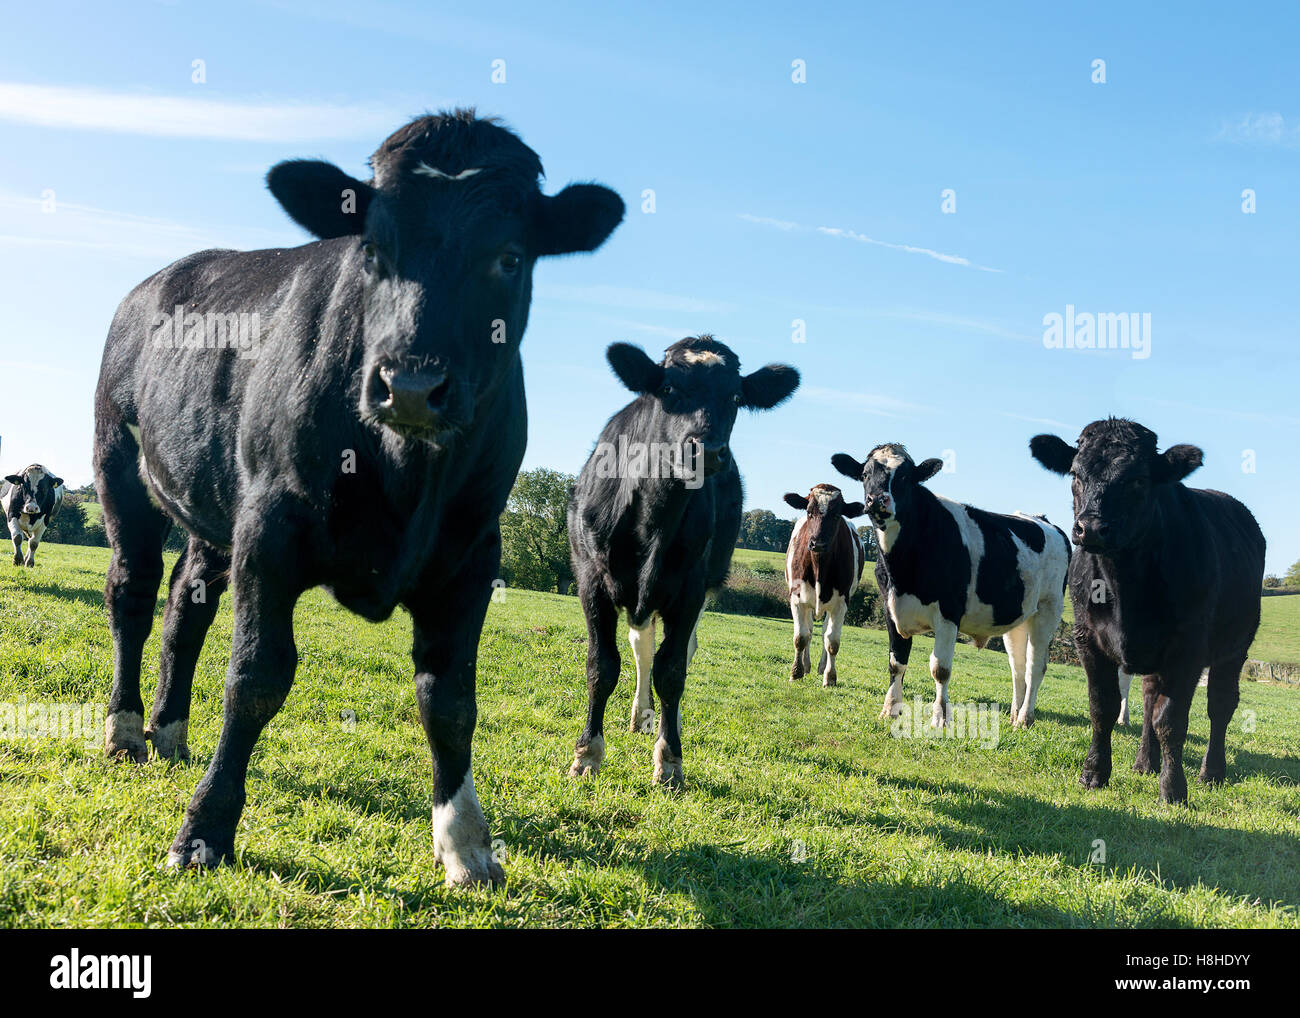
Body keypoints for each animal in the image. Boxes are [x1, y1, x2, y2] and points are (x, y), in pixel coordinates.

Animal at [93, 110, 623, 887]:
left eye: (511, 258)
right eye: (371, 248)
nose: (411, 385)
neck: (407, 473)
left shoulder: (472, 554)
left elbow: (450, 700)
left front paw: (466, 842)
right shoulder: (270, 527)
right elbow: (256, 676)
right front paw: (205, 830)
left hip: (213, 510)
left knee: (186, 604)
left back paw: (170, 731)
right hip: (120, 467)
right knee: (132, 592)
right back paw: (128, 729)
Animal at [567, 336, 799, 788]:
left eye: (735, 396)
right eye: (669, 387)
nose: (705, 449)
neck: (653, 520)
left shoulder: (691, 587)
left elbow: (672, 671)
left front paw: (670, 759)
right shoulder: (591, 580)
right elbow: (602, 666)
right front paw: (587, 754)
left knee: (675, 652)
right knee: (640, 645)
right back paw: (641, 716)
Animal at [782, 484, 866, 686]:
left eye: (837, 515)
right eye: (809, 511)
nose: (818, 544)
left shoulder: (841, 603)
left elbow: (832, 641)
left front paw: (830, 677)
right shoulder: (797, 599)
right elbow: (800, 637)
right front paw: (796, 672)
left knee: (825, 631)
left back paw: (821, 667)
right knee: (810, 630)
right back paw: (806, 665)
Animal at [832, 444, 1070, 728]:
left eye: (905, 477)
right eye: (865, 474)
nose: (877, 500)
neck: (902, 570)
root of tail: (1044, 520)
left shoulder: (948, 613)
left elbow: (940, 669)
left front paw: (940, 718)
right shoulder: (891, 610)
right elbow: (896, 663)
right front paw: (890, 710)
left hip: (1048, 609)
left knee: (1035, 667)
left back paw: (1025, 718)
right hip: (1019, 618)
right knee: (1018, 667)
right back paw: (1014, 715)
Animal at [1030, 418, 1265, 804]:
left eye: (1139, 480)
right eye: (1075, 473)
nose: (1090, 528)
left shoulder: (1188, 647)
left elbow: (1170, 720)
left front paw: (1173, 789)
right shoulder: (1087, 639)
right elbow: (1103, 707)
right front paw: (1094, 773)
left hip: (1235, 647)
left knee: (1220, 704)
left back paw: (1211, 772)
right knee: (1148, 697)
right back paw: (1144, 763)